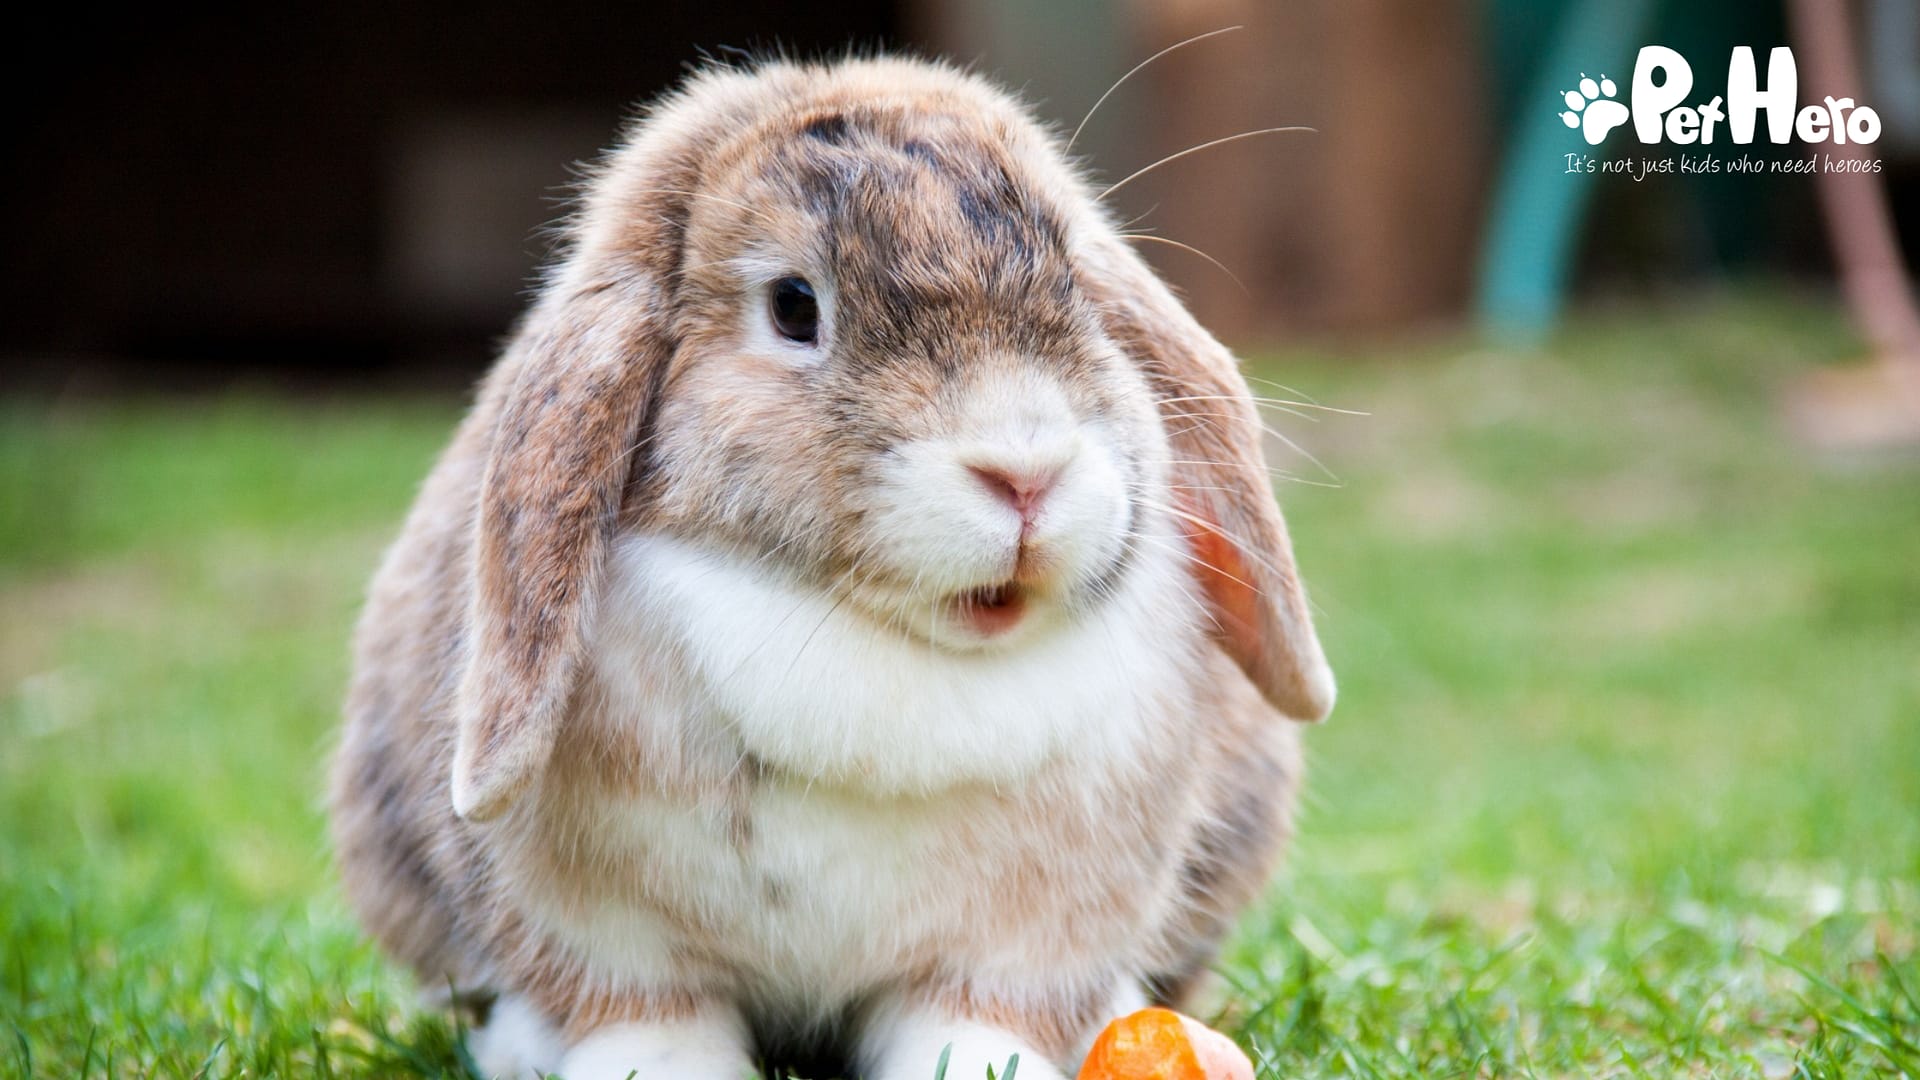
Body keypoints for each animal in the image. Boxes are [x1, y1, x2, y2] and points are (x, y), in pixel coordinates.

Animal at [329, 53, 1334, 1080]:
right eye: (793, 306)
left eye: (1080, 289)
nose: (1025, 471)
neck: (874, 641)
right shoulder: (608, 938)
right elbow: (645, 1015)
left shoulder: (1024, 943)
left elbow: (974, 1017)